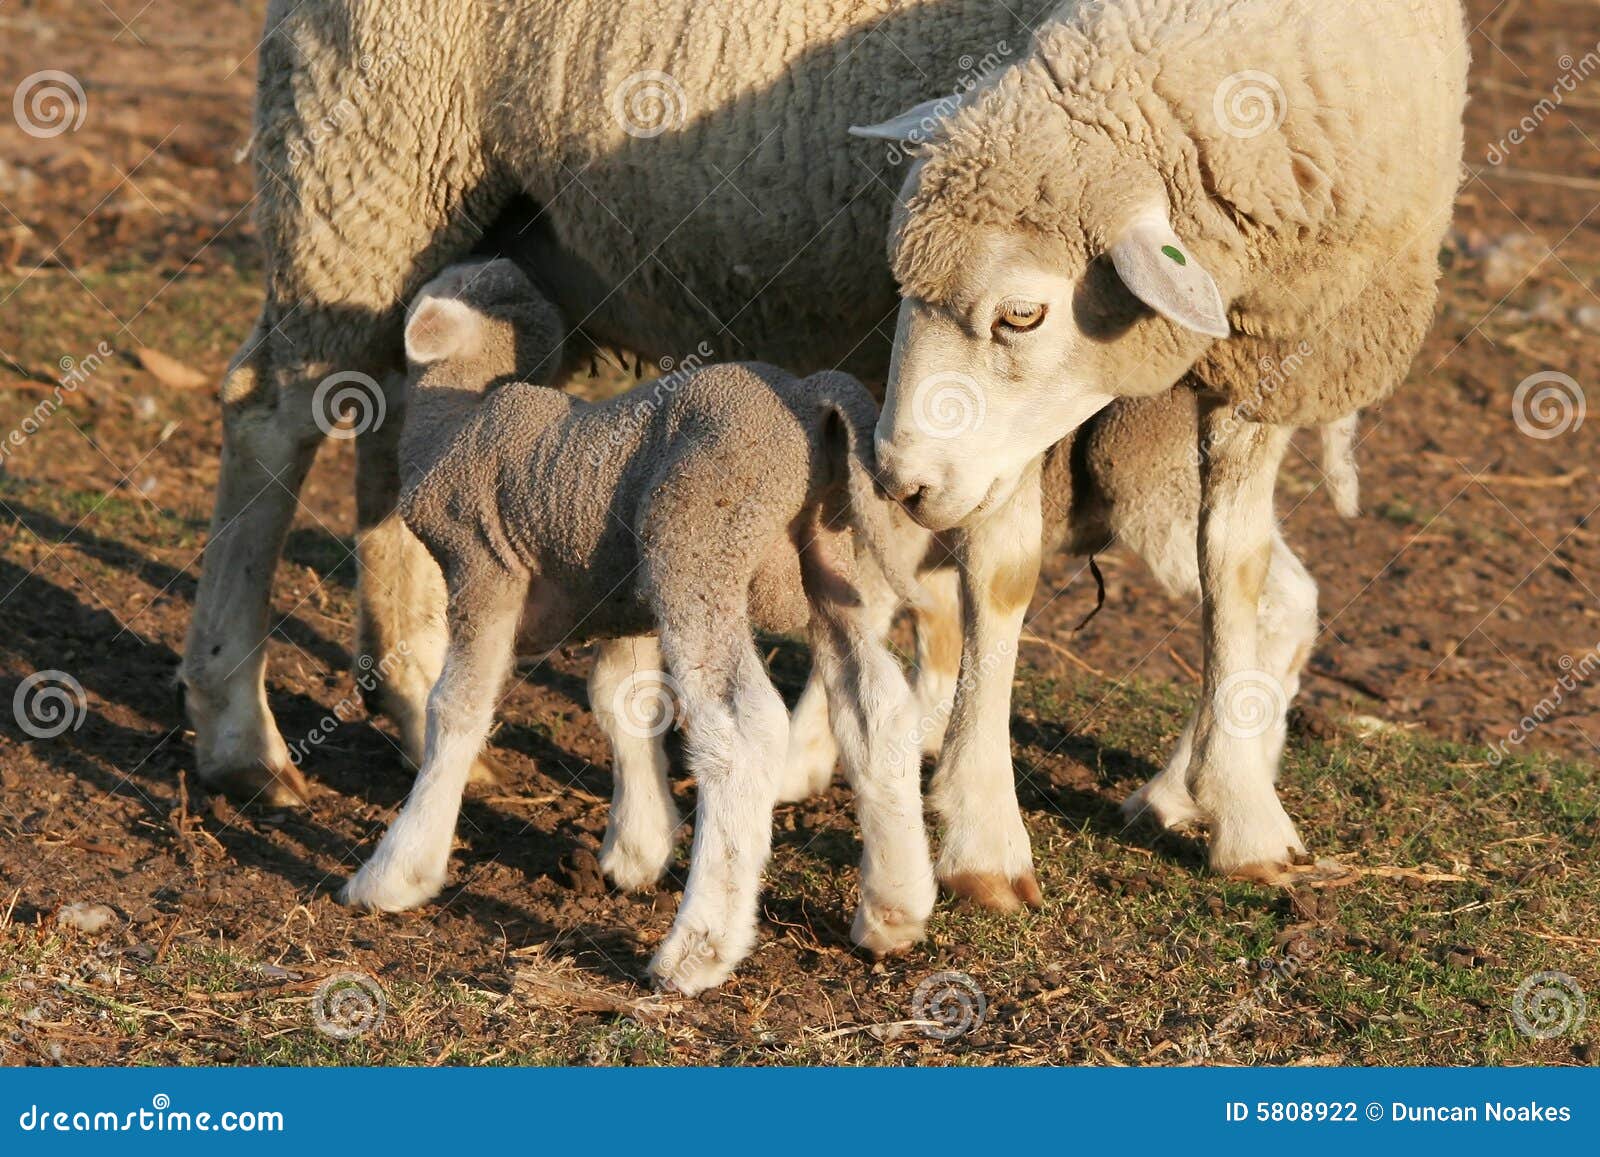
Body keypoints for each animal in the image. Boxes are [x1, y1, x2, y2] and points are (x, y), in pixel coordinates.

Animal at [340, 259, 938, 994]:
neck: (463, 410)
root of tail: (810, 395)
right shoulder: (622, 596)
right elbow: (621, 701)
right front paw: (638, 847)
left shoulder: (485, 569)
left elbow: (456, 707)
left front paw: (396, 871)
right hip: (826, 558)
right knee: (873, 707)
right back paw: (894, 909)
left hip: (695, 543)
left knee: (742, 732)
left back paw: (697, 950)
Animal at [854, 0, 1468, 889]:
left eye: (1022, 315)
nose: (899, 478)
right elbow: (998, 579)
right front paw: (981, 833)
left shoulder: (1263, 361)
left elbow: (1234, 567)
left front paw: (1242, 812)